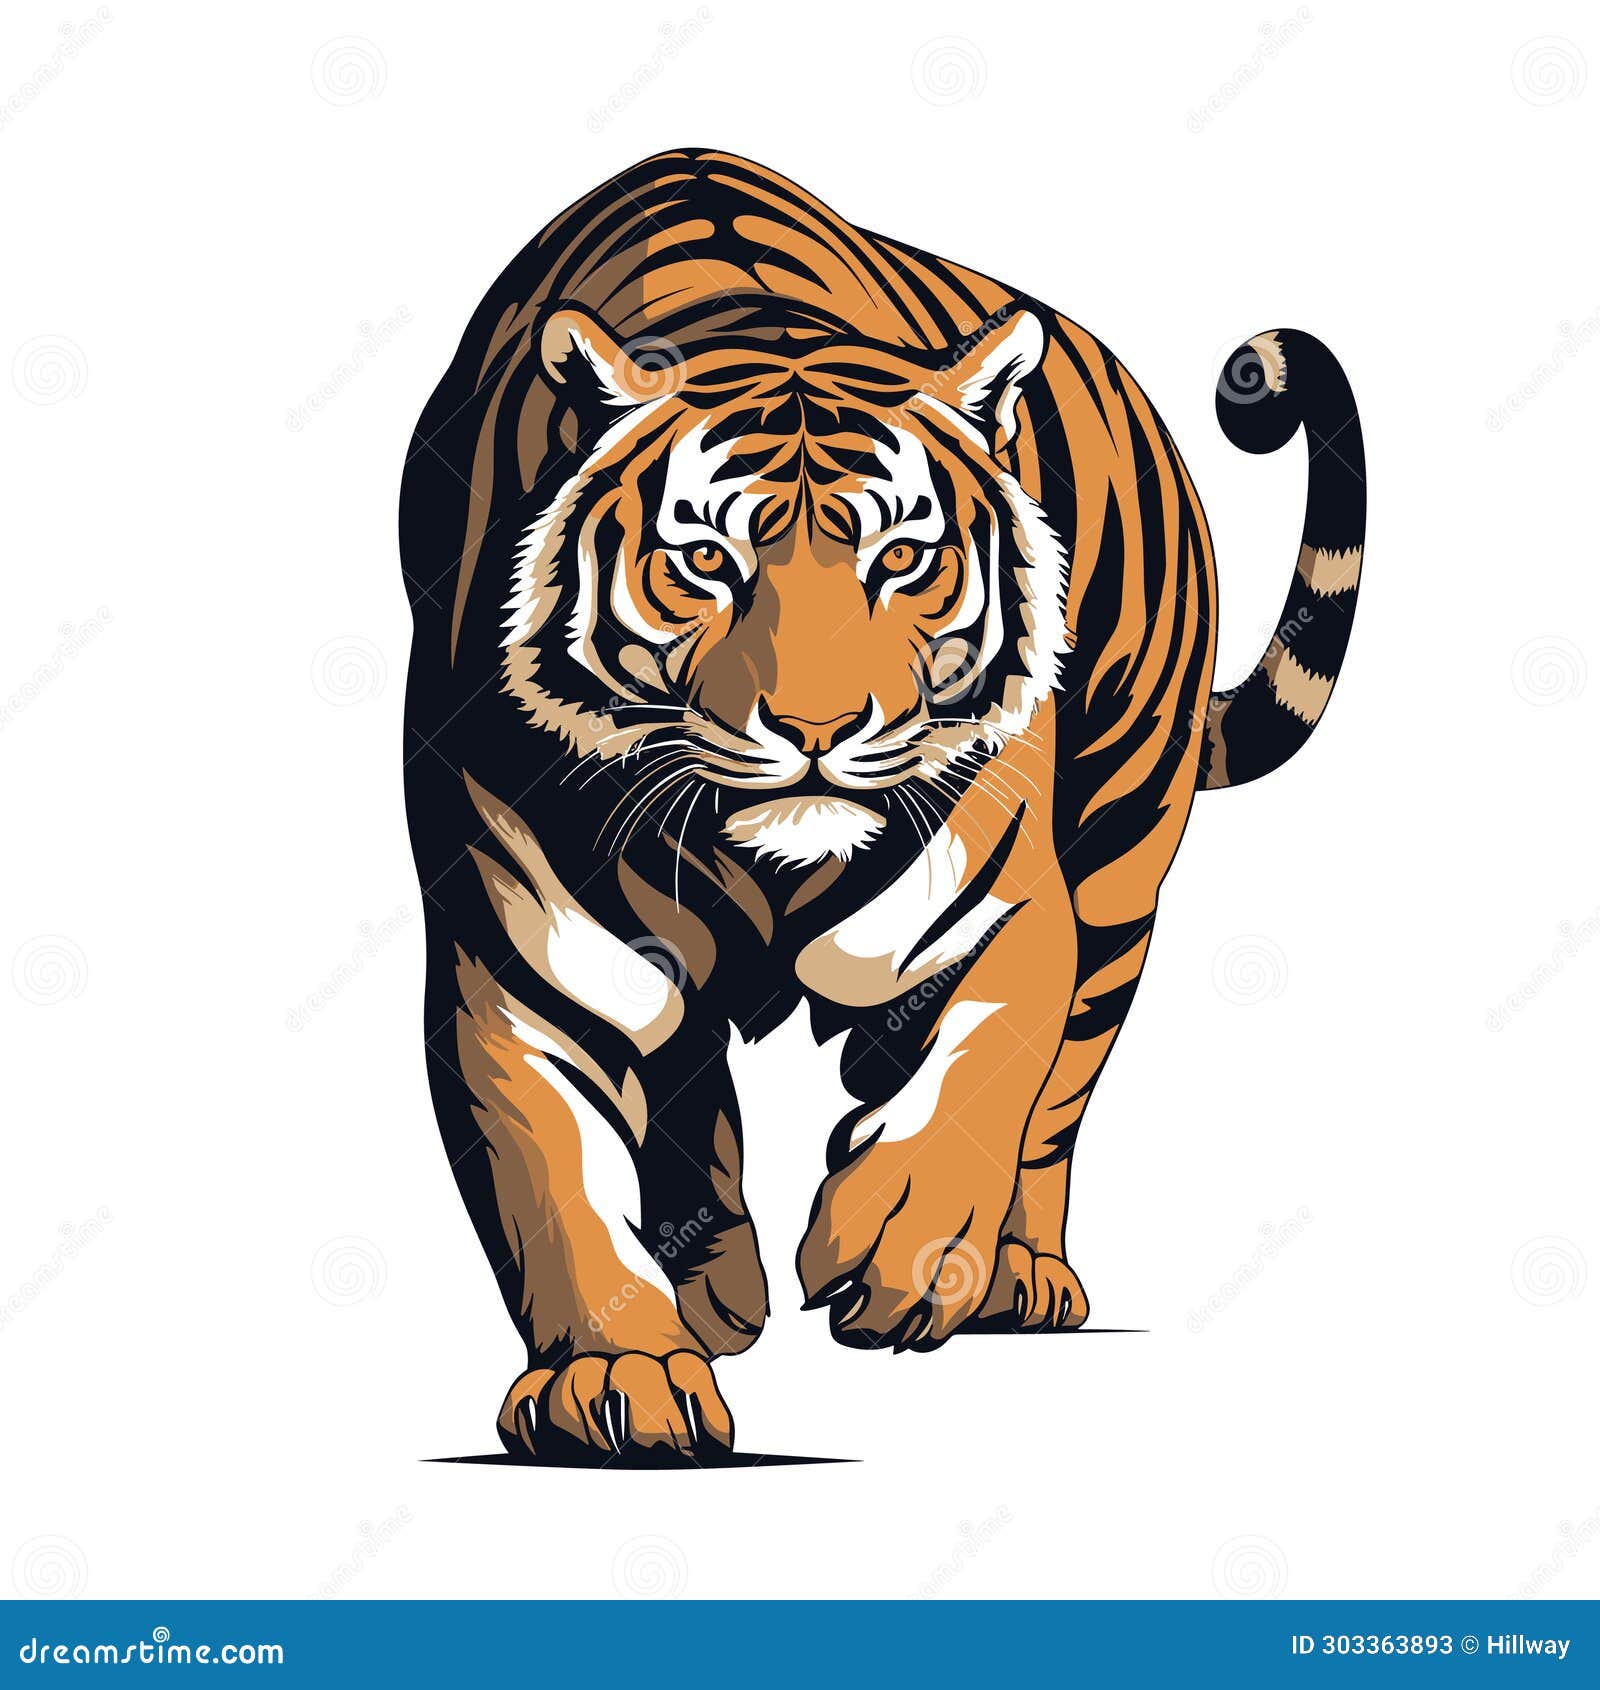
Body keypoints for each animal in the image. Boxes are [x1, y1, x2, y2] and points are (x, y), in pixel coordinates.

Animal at [399, 148, 1365, 1461]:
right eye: (704, 562)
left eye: (901, 559)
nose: (815, 732)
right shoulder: (520, 953)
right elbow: (558, 1176)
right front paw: (620, 1375)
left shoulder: (1003, 903)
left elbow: (972, 1083)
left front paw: (898, 1253)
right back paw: (717, 1293)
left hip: (1121, 851)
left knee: (1062, 1093)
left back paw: (1019, 1274)